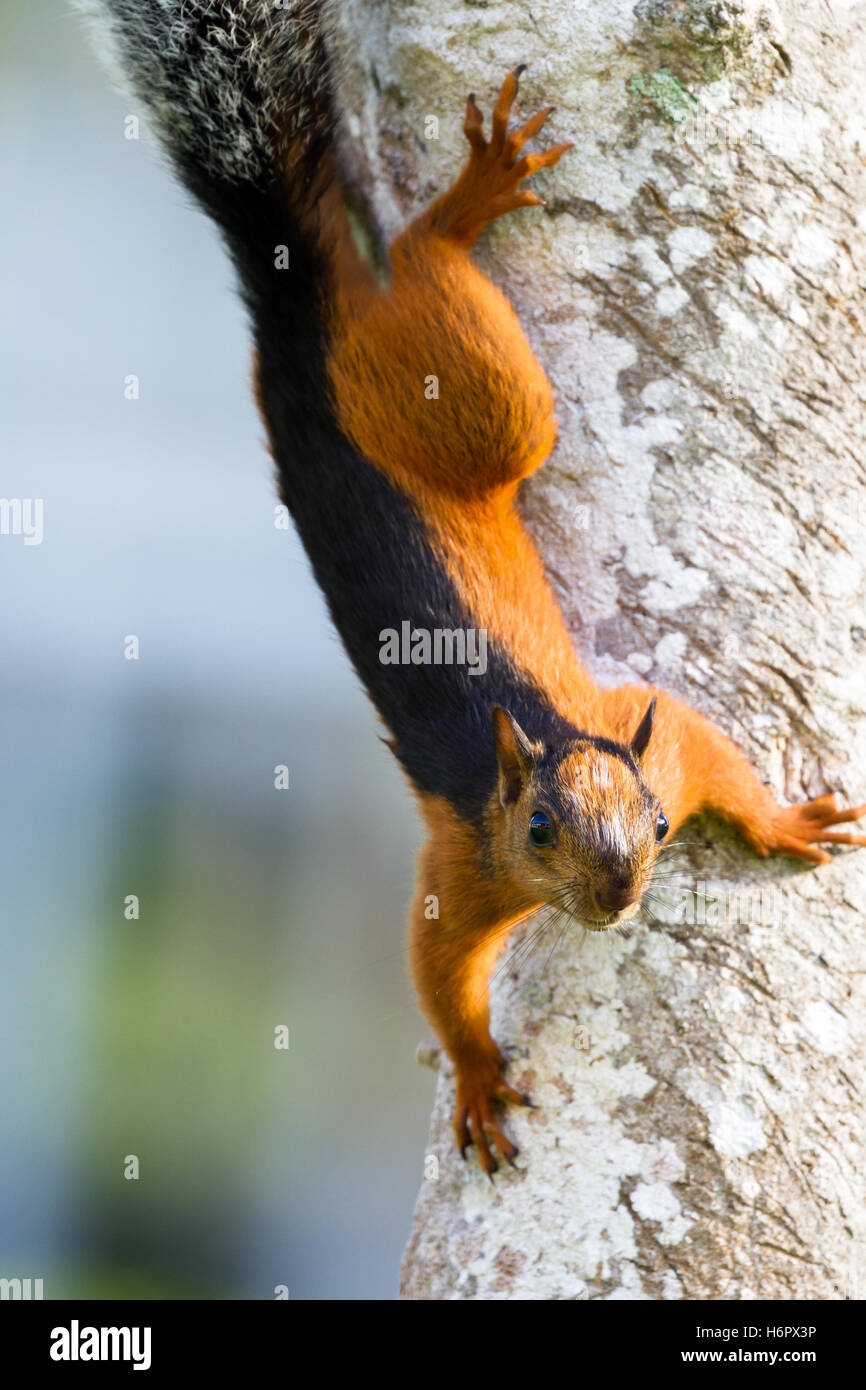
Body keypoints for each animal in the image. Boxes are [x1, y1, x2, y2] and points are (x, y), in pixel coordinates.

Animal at [81, 1, 866, 1176]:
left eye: (657, 825)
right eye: (537, 830)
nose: (617, 896)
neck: (541, 752)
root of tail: (290, 294)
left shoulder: (648, 742)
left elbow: (703, 745)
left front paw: (780, 822)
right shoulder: (467, 860)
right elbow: (436, 967)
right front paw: (476, 1075)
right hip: (457, 390)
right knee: (421, 268)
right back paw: (468, 200)